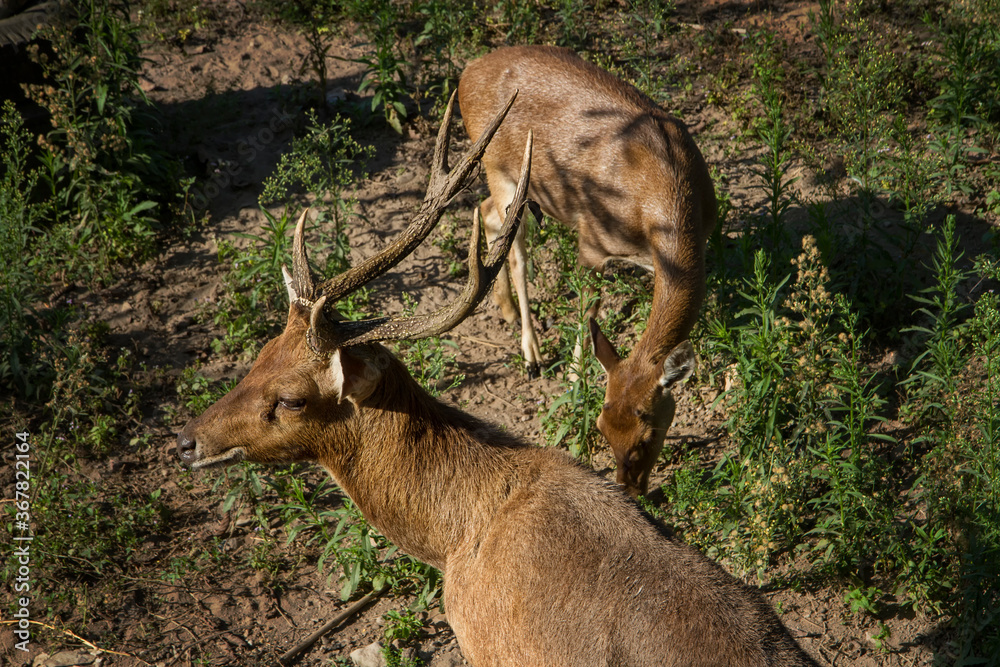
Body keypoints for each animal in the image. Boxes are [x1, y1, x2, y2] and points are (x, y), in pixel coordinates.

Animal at [458, 45, 718, 497]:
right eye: (600, 426)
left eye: (648, 433)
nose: (630, 489)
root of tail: (464, 76)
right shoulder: (592, 241)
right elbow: (588, 311)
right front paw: (574, 377)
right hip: (501, 169)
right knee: (511, 239)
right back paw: (531, 352)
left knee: (486, 214)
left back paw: (505, 310)